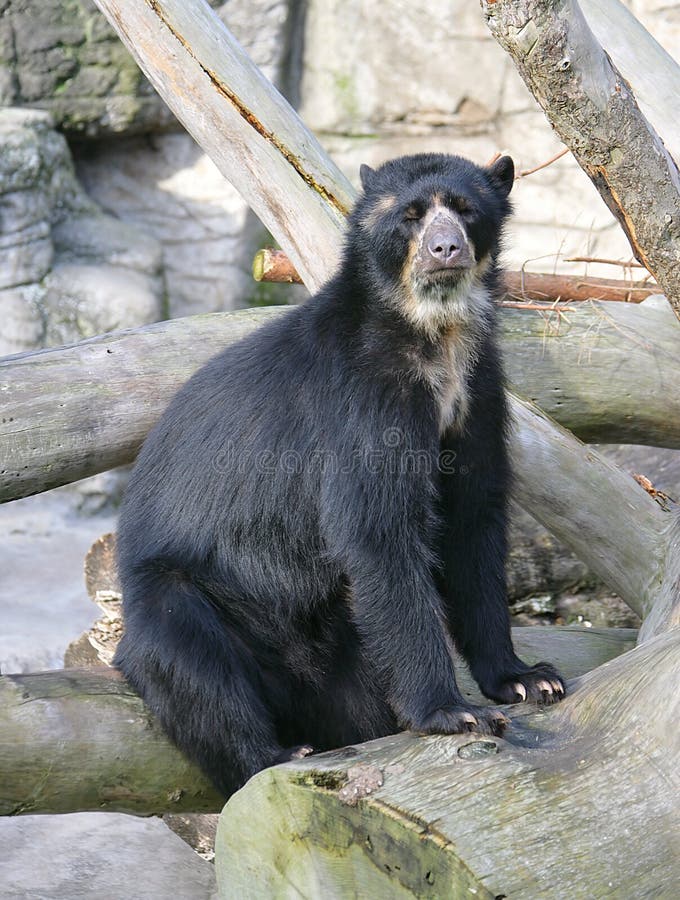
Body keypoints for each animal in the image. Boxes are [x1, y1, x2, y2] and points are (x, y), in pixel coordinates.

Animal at [114, 152, 565, 798]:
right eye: (410, 217)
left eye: (466, 208)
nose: (446, 249)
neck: (435, 336)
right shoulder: (363, 403)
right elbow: (377, 531)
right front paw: (455, 712)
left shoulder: (476, 396)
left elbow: (473, 521)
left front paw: (528, 679)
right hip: (185, 595)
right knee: (193, 667)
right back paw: (278, 751)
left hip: (344, 645)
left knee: (355, 702)